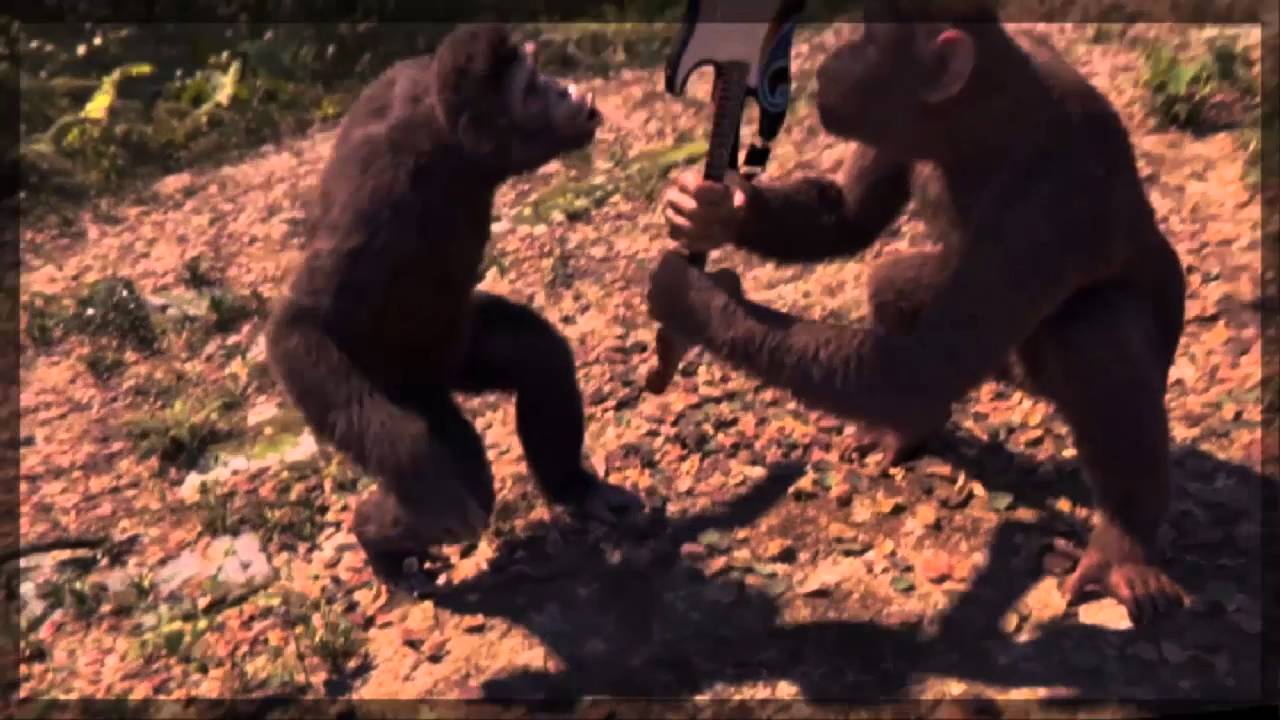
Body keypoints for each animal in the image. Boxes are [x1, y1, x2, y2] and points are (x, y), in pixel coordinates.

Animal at [266, 24, 643, 593]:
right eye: (531, 88)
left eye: (537, 72)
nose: (562, 89)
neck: (455, 150)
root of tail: (432, 383)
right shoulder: (382, 195)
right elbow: (303, 322)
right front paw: (426, 485)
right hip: (379, 398)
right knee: (456, 477)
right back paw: (377, 542)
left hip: (454, 356)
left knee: (538, 359)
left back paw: (574, 488)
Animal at [647, 1, 1190, 624]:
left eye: (865, 37)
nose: (835, 56)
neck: (983, 122)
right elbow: (847, 214)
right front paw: (709, 211)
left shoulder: (1057, 191)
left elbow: (920, 368)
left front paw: (683, 294)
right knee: (893, 282)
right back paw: (906, 430)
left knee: (1094, 332)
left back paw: (1124, 546)